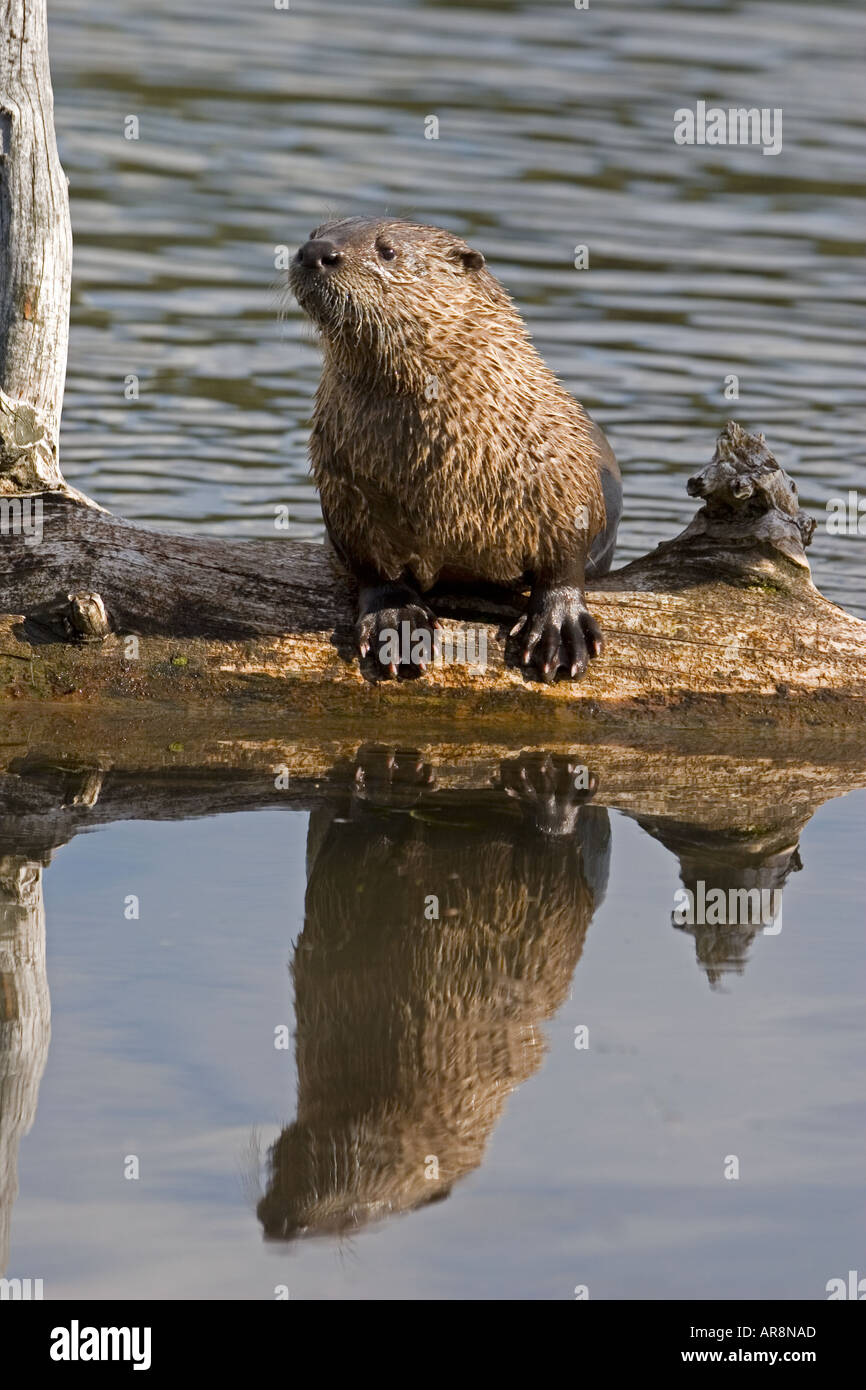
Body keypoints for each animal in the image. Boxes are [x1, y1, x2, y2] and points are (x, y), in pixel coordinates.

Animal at [289, 217, 622, 680]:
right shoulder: (342, 484)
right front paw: (396, 621)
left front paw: (558, 622)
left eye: (387, 251)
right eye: (314, 233)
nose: (316, 252)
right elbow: (371, 566)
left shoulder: (563, 471)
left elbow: (566, 558)